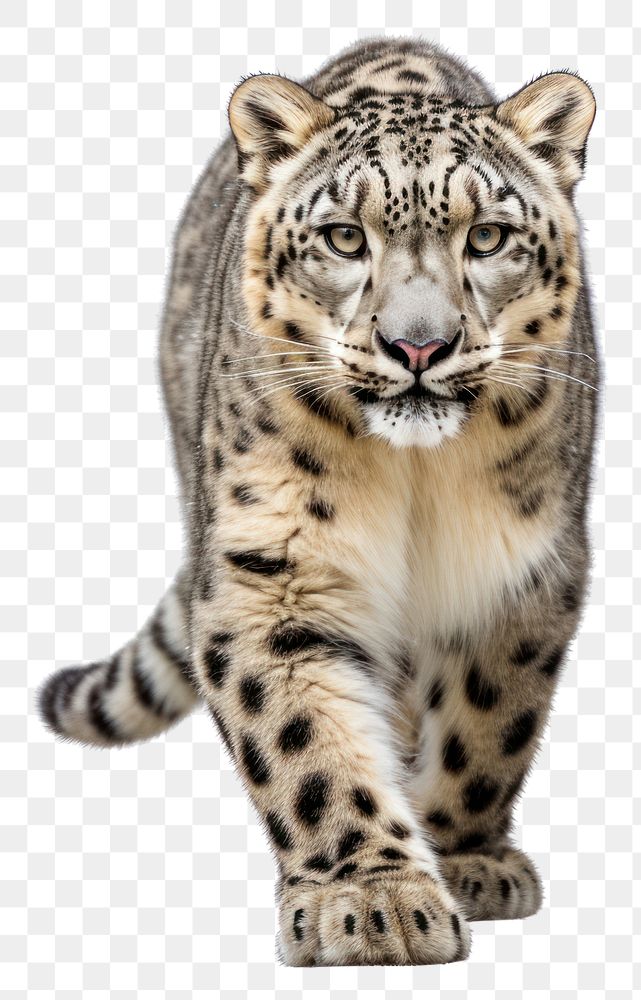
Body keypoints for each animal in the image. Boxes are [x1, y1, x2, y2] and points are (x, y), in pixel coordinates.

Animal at [39, 36, 599, 967]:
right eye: (343, 236)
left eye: (487, 235)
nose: (418, 346)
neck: (417, 481)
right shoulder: (271, 565)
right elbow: (305, 742)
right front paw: (372, 902)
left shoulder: (521, 566)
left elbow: (488, 719)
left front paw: (462, 860)